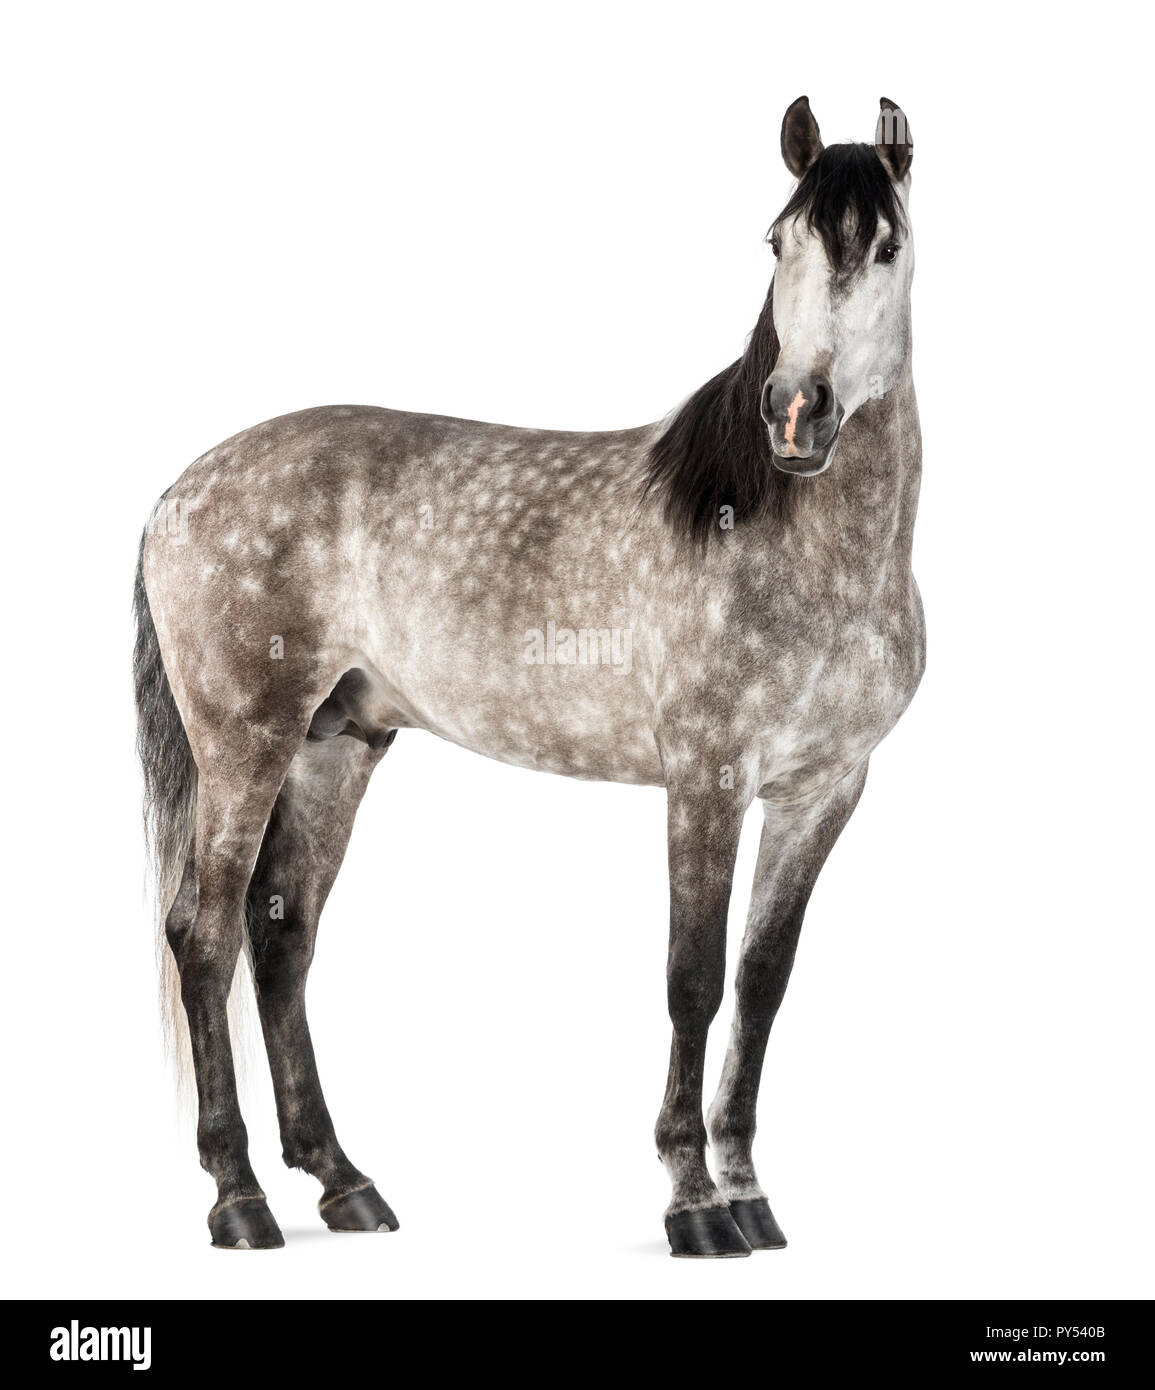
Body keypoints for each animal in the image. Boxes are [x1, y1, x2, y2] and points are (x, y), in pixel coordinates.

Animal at [134, 95, 923, 1258]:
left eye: (886, 248)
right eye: (776, 242)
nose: (796, 412)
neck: (795, 542)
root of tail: (180, 491)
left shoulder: (824, 790)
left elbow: (758, 984)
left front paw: (748, 1193)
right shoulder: (706, 779)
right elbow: (691, 982)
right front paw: (694, 1204)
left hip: (335, 748)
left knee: (284, 938)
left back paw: (343, 1183)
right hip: (244, 741)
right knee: (205, 934)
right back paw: (238, 1198)